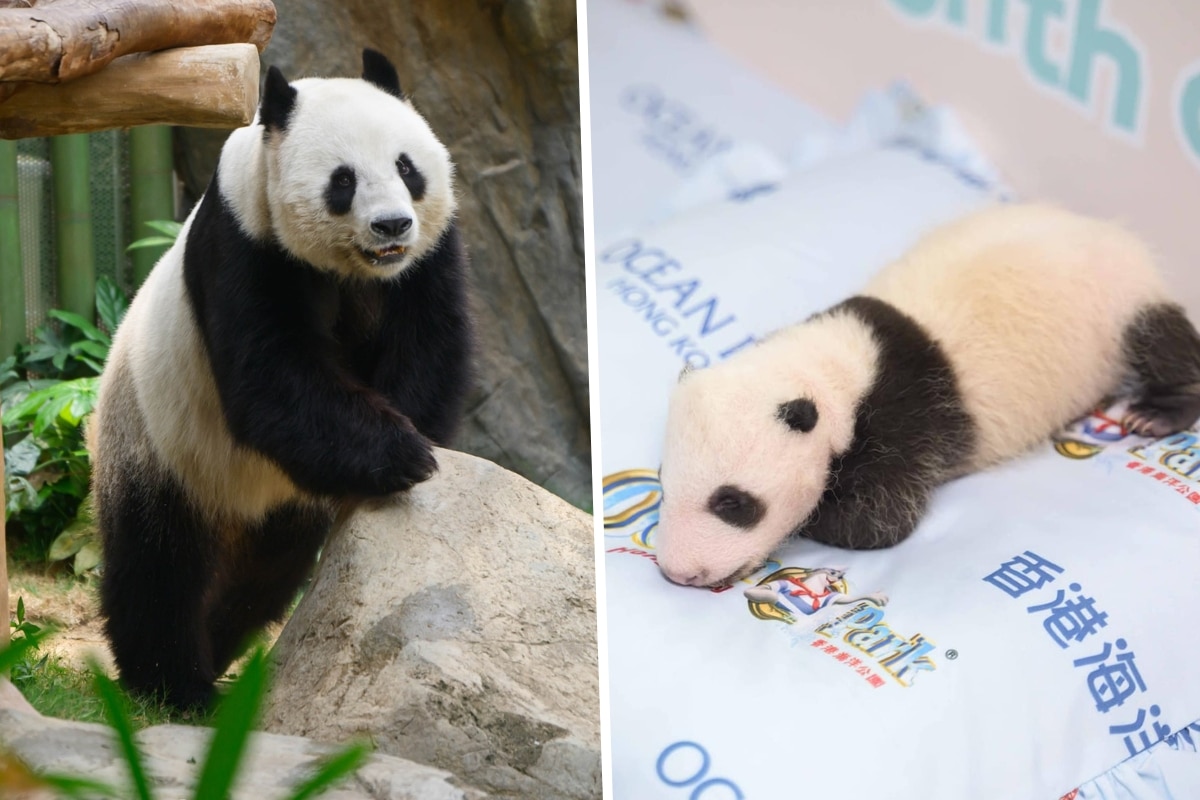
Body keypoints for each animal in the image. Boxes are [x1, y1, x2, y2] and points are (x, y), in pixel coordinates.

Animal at [87, 49, 472, 709]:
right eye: (342, 180)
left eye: (406, 167)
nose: (393, 226)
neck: (353, 268)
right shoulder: (244, 241)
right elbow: (268, 377)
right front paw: (404, 454)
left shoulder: (427, 256)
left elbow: (428, 344)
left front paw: (415, 442)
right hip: (156, 440)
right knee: (157, 565)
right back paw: (176, 684)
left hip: (279, 501)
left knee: (262, 576)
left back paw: (217, 650)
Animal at [654, 203, 1200, 588]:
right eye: (663, 481)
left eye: (733, 503)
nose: (680, 572)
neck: (831, 364)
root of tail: (1111, 231)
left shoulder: (907, 417)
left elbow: (878, 522)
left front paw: (816, 514)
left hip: (1119, 302)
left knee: (1162, 341)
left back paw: (1155, 413)